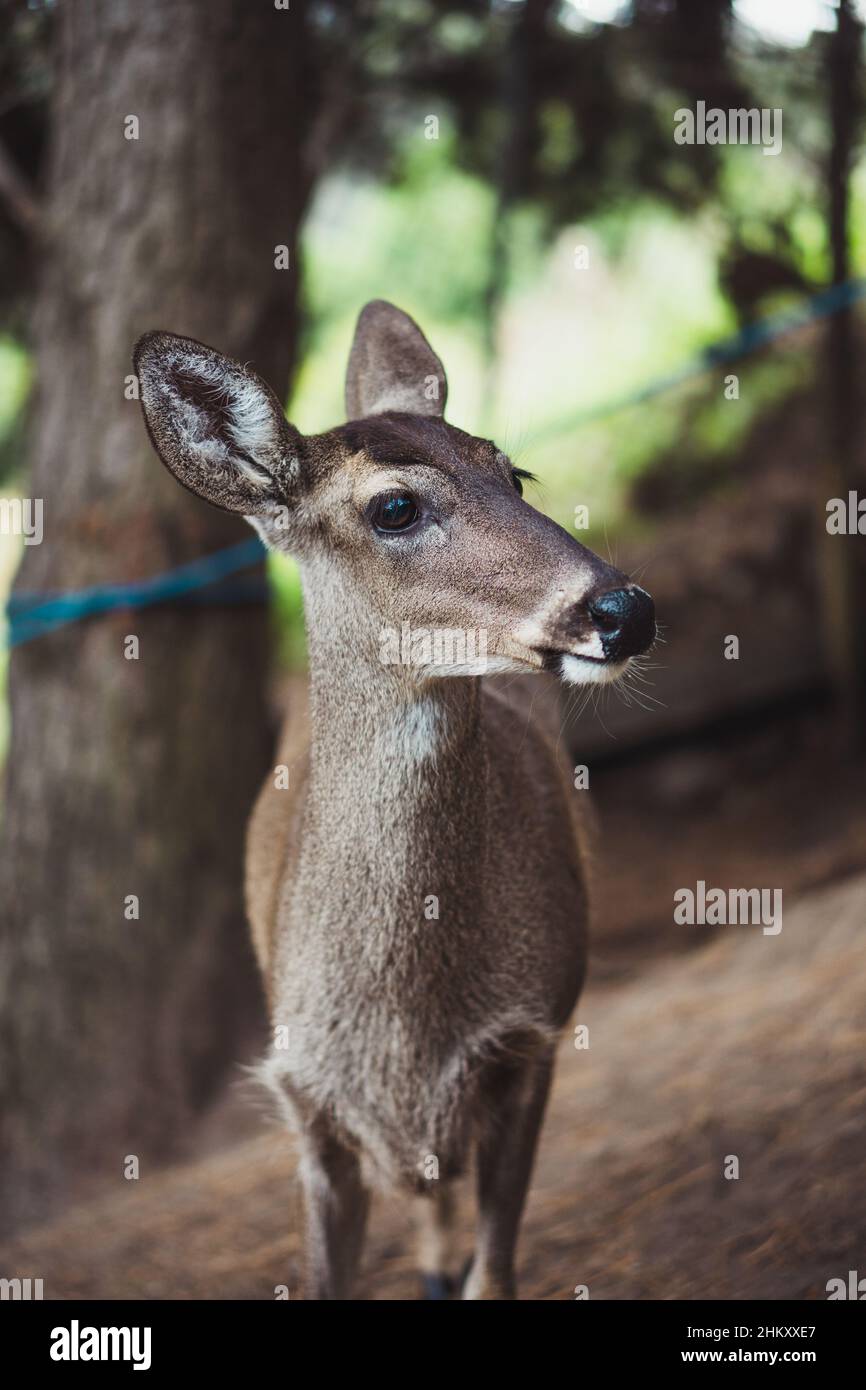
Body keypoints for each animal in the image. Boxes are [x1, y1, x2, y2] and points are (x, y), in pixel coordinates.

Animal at [134, 301, 655, 1300]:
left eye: (515, 472)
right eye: (396, 506)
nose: (623, 610)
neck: (408, 1029)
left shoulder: (534, 1037)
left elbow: (497, 1272)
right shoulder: (308, 1104)